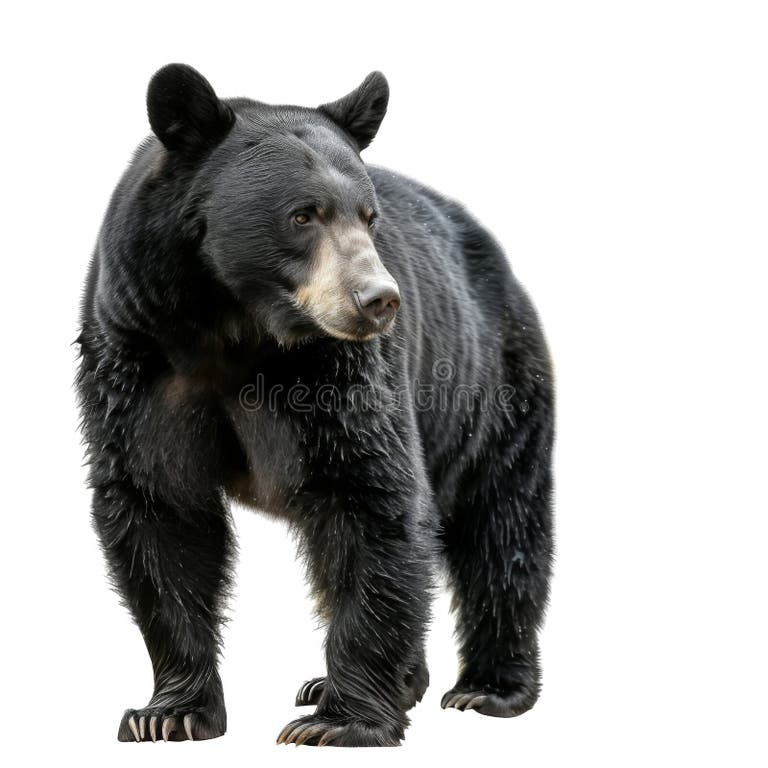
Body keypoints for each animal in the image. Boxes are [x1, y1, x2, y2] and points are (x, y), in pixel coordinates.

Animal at [76, 63, 555, 747]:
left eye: (369, 216)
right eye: (303, 215)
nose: (379, 299)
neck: (234, 327)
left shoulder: (340, 376)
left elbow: (373, 500)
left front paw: (339, 723)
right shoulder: (140, 360)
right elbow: (159, 506)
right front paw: (167, 713)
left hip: (489, 384)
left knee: (501, 525)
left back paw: (489, 688)